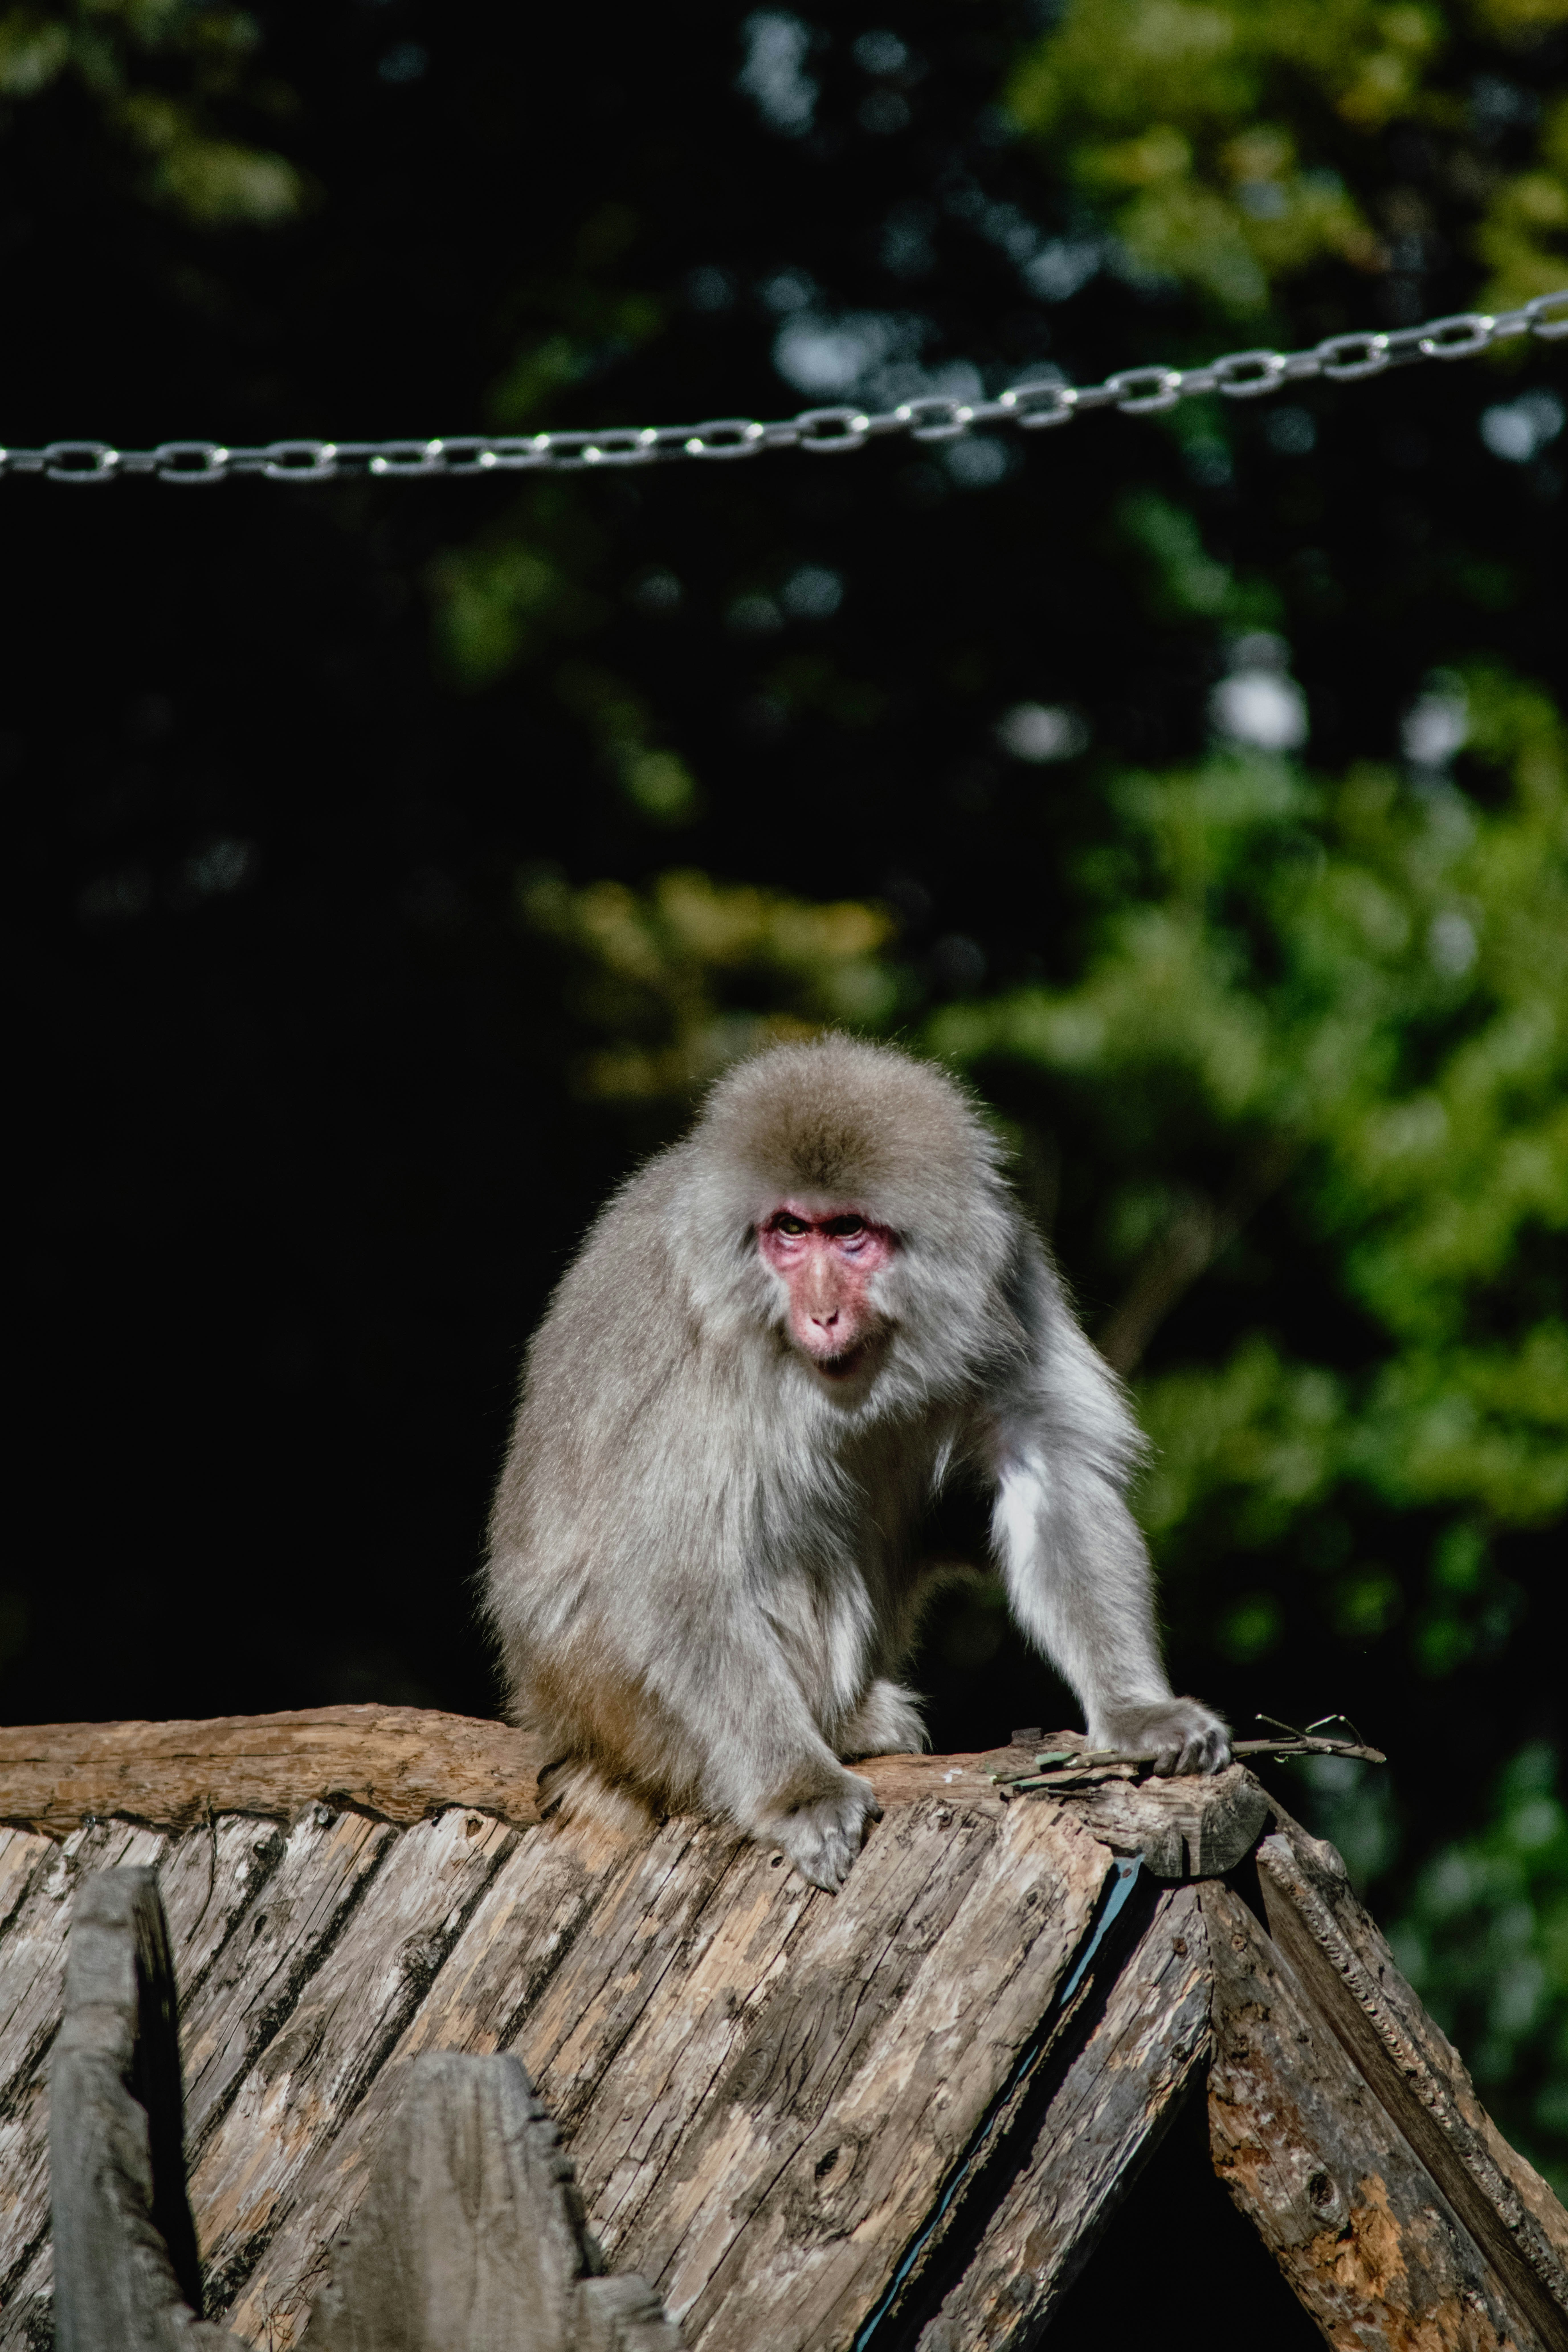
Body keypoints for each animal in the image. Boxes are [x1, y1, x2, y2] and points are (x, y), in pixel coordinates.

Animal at [484, 1035, 1229, 1891]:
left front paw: (1137, 1712)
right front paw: (799, 1792)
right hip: (610, 1702)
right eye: (788, 1231)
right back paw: (838, 1733)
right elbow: (678, 1569)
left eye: (849, 1233)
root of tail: (553, 1719)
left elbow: (1050, 1472)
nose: (821, 1312)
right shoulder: (701, 1350)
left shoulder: (1004, 1276)